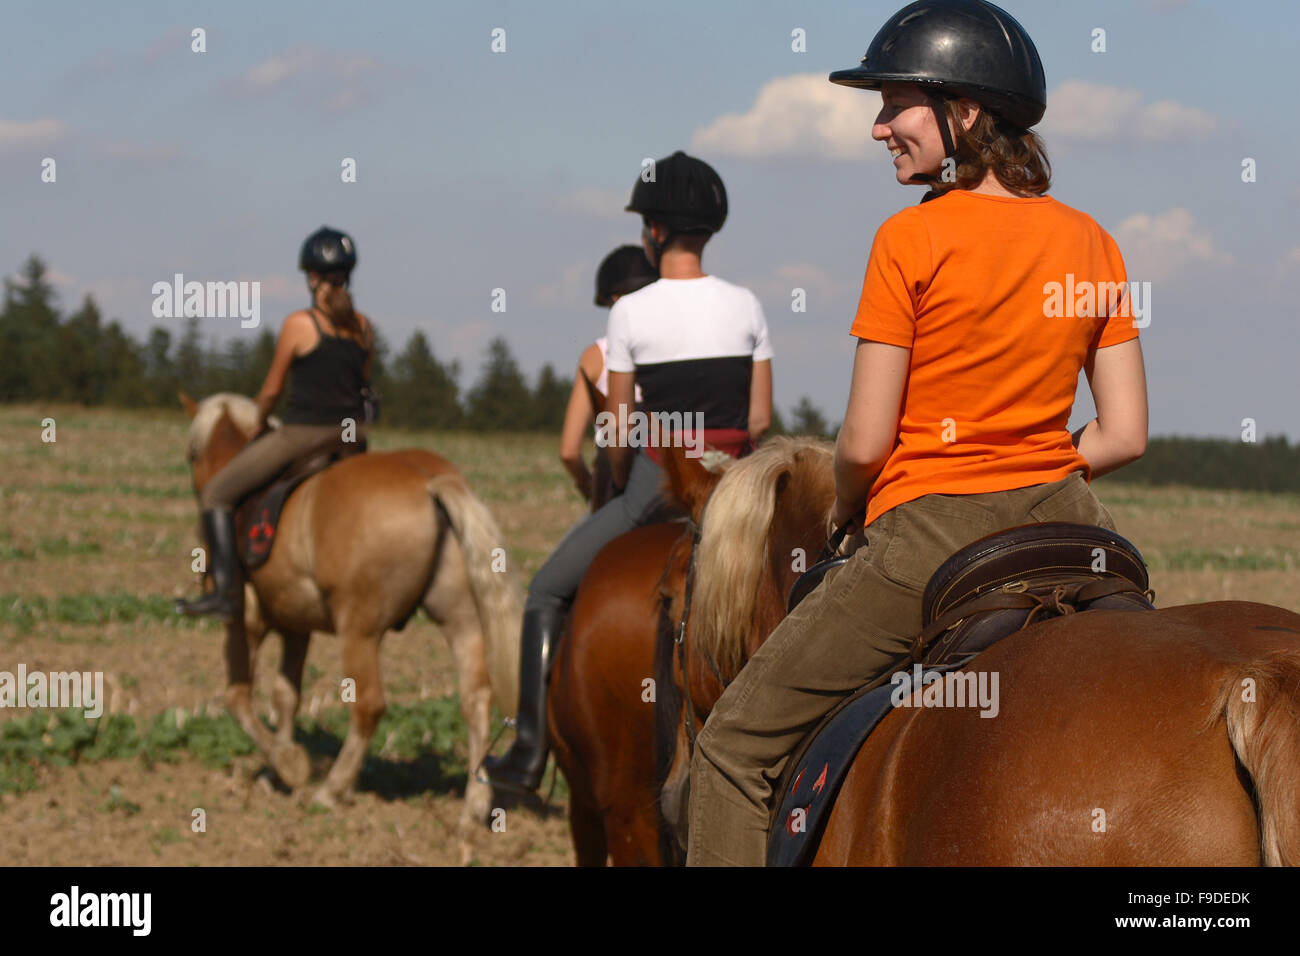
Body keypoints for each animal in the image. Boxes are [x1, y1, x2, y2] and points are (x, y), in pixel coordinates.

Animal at [178, 392, 521, 844]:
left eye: (192, 455)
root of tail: (429, 480)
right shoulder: (296, 627)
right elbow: (286, 696)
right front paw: (279, 770)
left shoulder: (243, 622)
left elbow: (237, 697)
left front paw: (287, 763)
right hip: (460, 621)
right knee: (475, 700)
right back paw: (473, 808)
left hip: (359, 630)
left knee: (369, 706)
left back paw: (332, 789)